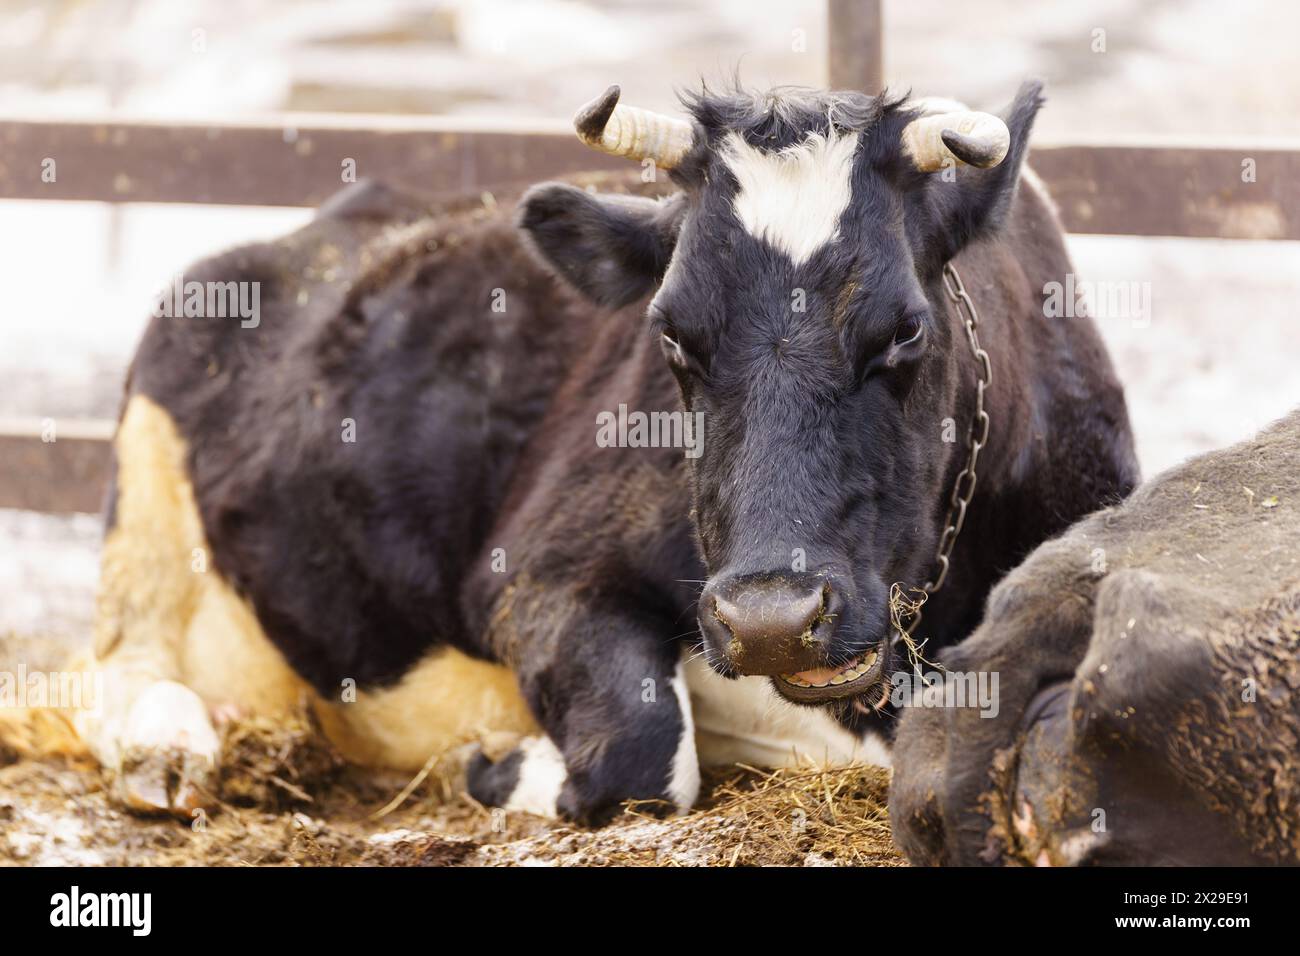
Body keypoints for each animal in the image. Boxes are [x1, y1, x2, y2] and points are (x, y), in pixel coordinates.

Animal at [31, 78, 1137, 823]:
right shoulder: (534, 574)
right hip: (148, 489)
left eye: (905, 328)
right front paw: (502, 766)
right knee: (112, 662)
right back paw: (167, 749)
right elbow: (643, 751)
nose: (770, 619)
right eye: (672, 336)